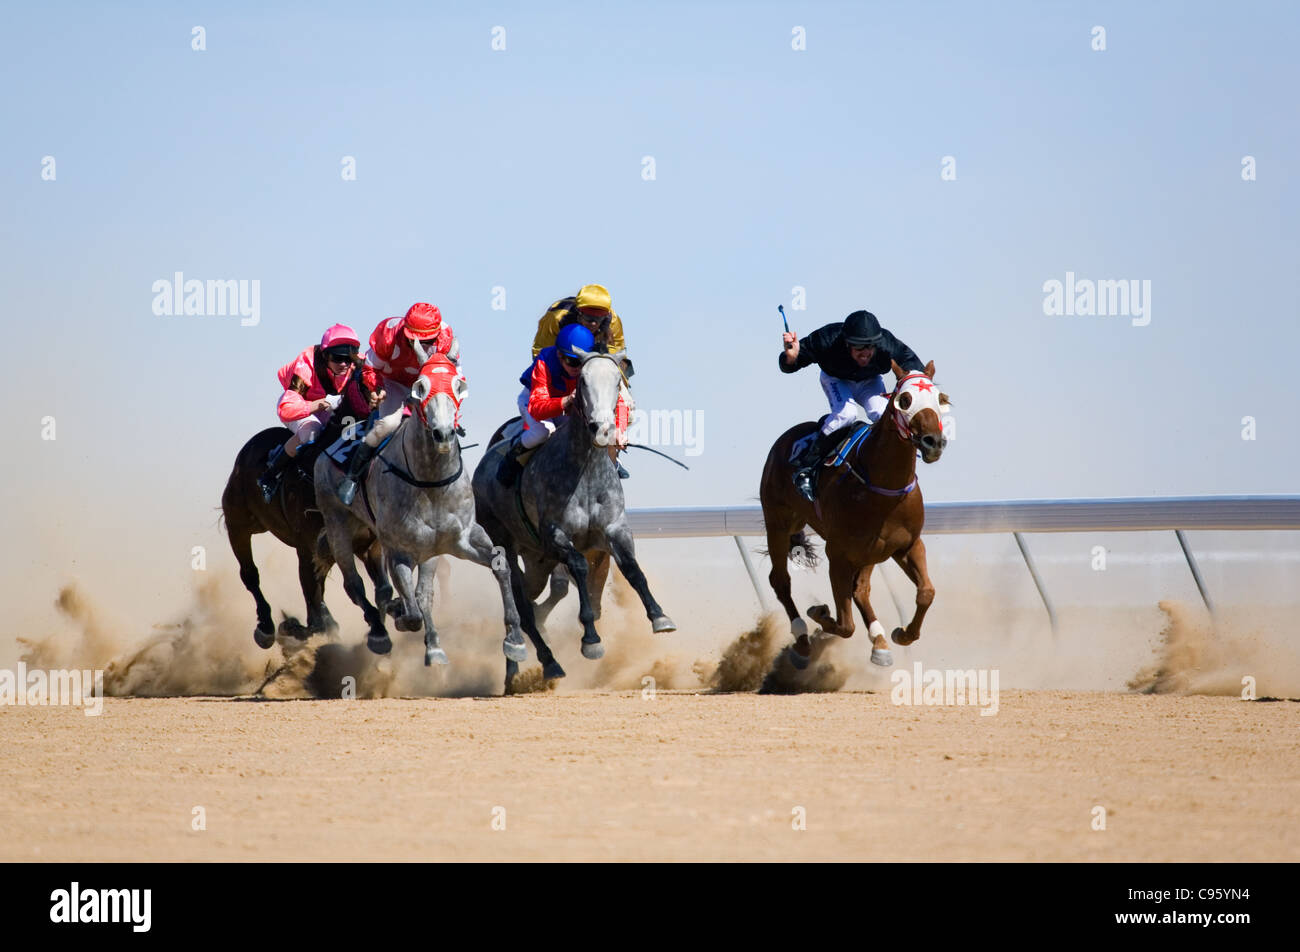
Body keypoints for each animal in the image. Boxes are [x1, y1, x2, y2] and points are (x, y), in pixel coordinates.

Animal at [221, 381, 393, 649]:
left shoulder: (367, 543)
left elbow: (382, 589)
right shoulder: (309, 546)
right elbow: (317, 609)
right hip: (237, 522)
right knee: (249, 574)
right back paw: (266, 626)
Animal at [314, 354, 528, 667]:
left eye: (458, 386)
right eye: (421, 386)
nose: (443, 434)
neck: (431, 483)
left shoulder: (457, 540)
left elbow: (497, 568)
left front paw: (514, 639)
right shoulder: (399, 550)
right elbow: (412, 612)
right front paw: (400, 614)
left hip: (382, 539)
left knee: (397, 590)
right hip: (337, 524)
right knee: (354, 584)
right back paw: (379, 633)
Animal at [472, 348, 675, 691]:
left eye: (617, 383)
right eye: (582, 381)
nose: (602, 429)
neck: (586, 470)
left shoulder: (614, 530)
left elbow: (633, 570)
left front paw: (659, 616)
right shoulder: (556, 535)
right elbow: (579, 568)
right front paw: (591, 640)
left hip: (537, 559)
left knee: (528, 598)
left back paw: (516, 665)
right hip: (504, 542)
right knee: (520, 602)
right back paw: (542, 662)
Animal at [759, 359, 949, 669]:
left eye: (941, 399)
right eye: (905, 400)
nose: (934, 442)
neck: (884, 488)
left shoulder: (907, 545)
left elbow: (926, 593)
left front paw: (902, 633)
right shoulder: (838, 552)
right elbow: (845, 624)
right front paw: (819, 612)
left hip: (869, 551)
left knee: (860, 589)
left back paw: (880, 641)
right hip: (777, 522)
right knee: (780, 580)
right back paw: (802, 641)